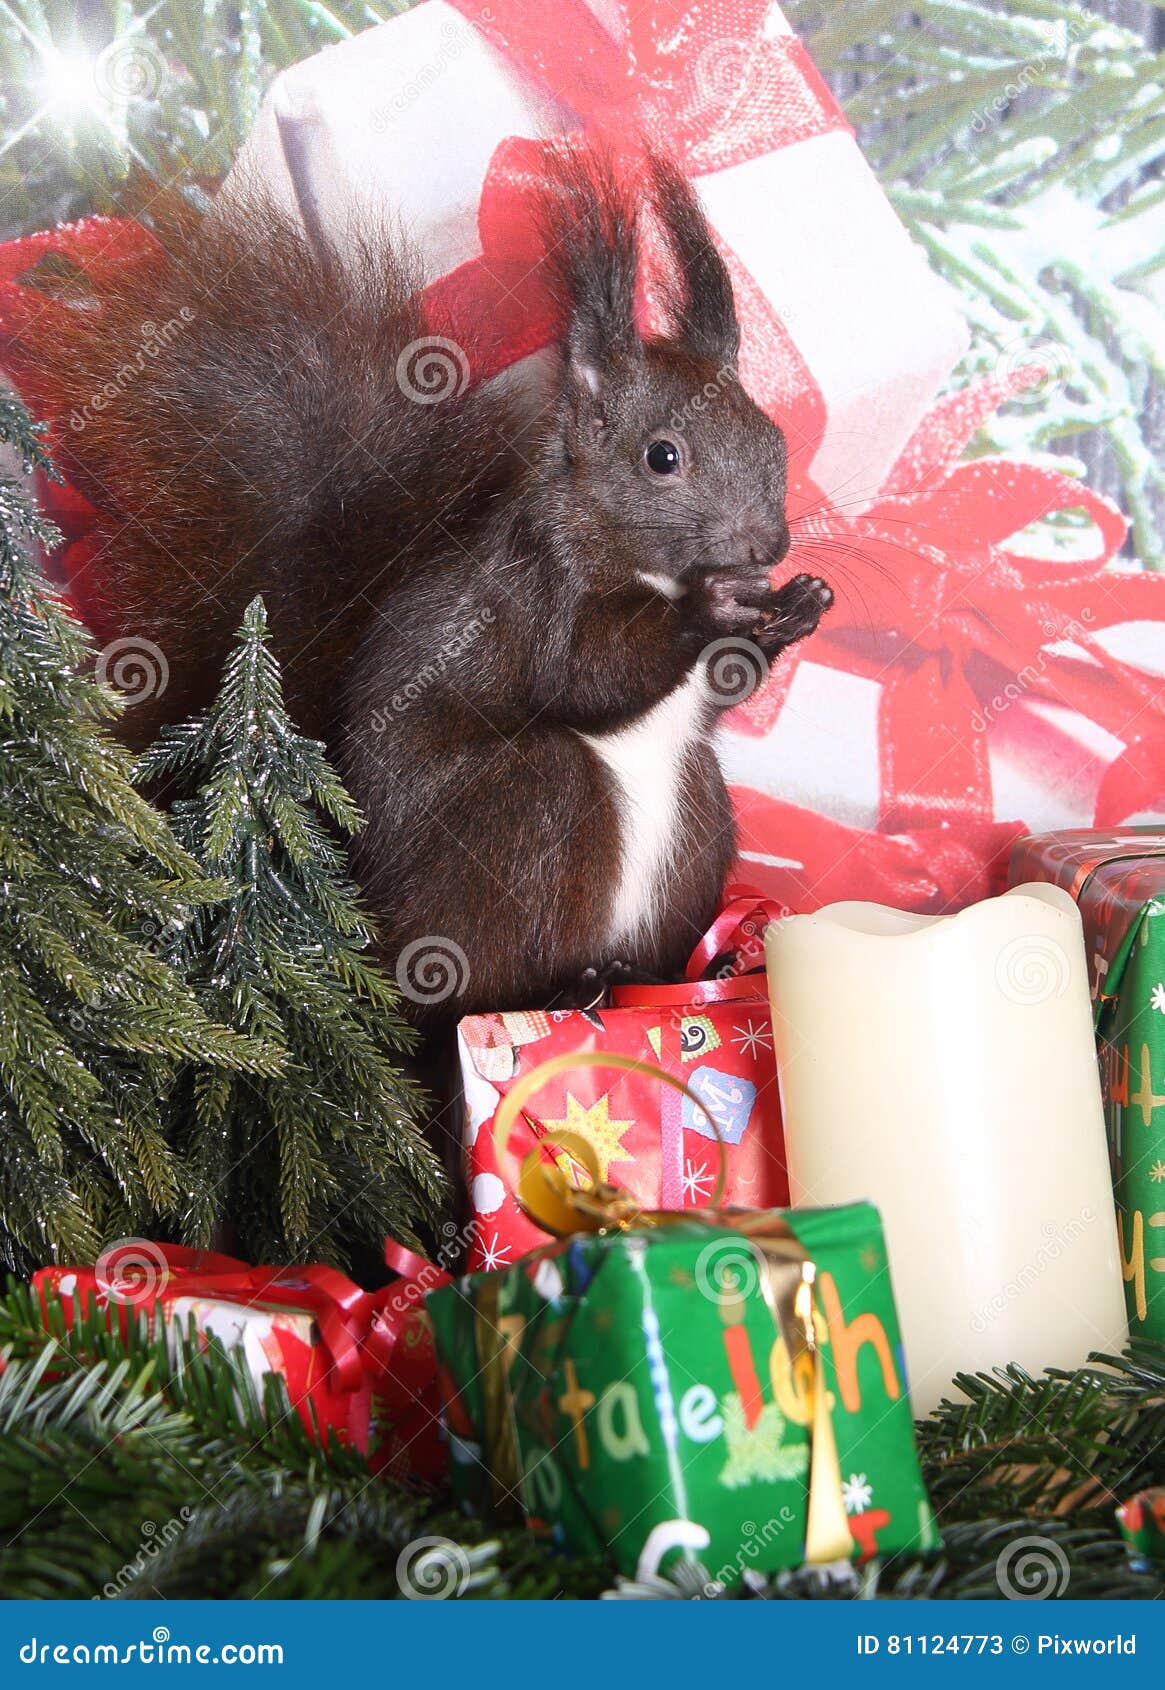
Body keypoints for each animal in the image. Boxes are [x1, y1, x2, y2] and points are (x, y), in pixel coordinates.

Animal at [10, 147, 833, 1022]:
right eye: (662, 457)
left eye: (773, 437)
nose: (768, 544)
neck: (637, 556)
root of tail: (381, 926)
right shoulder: (537, 589)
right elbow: (586, 672)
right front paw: (713, 606)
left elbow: (718, 691)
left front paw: (795, 608)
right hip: (528, 805)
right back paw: (568, 987)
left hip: (696, 822)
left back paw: (678, 973)